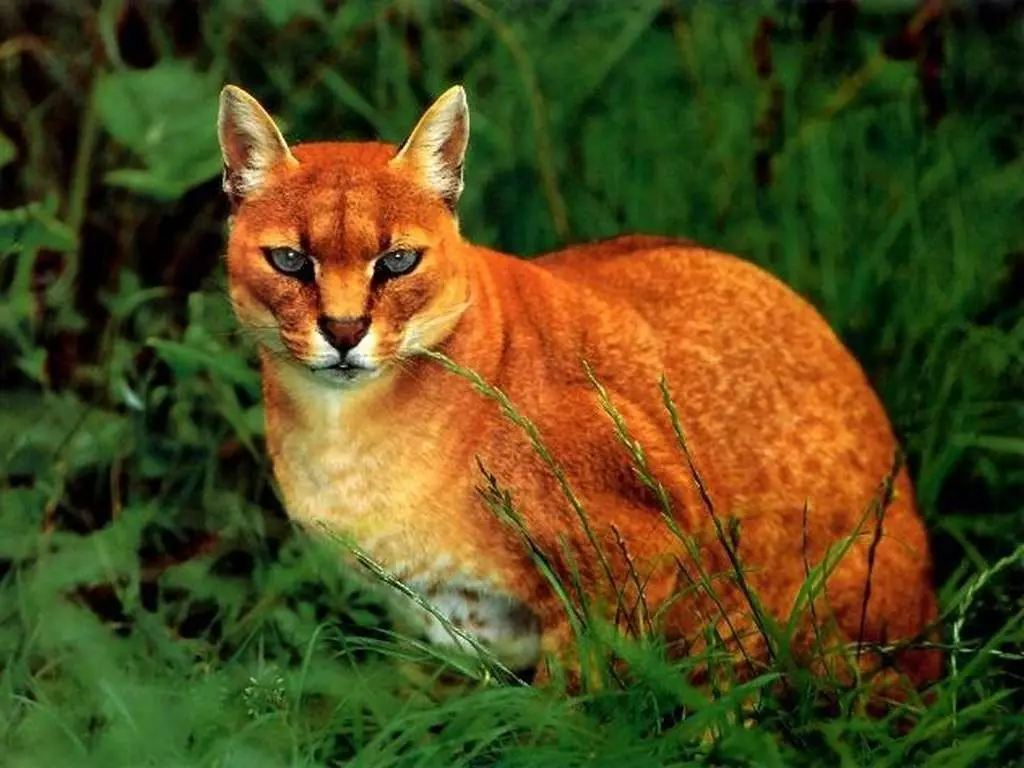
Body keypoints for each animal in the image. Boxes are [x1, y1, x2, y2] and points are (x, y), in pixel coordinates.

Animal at [218, 82, 942, 692]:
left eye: (397, 261)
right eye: (290, 260)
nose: (344, 330)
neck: (344, 434)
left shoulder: (628, 566)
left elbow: (572, 708)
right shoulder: (441, 627)